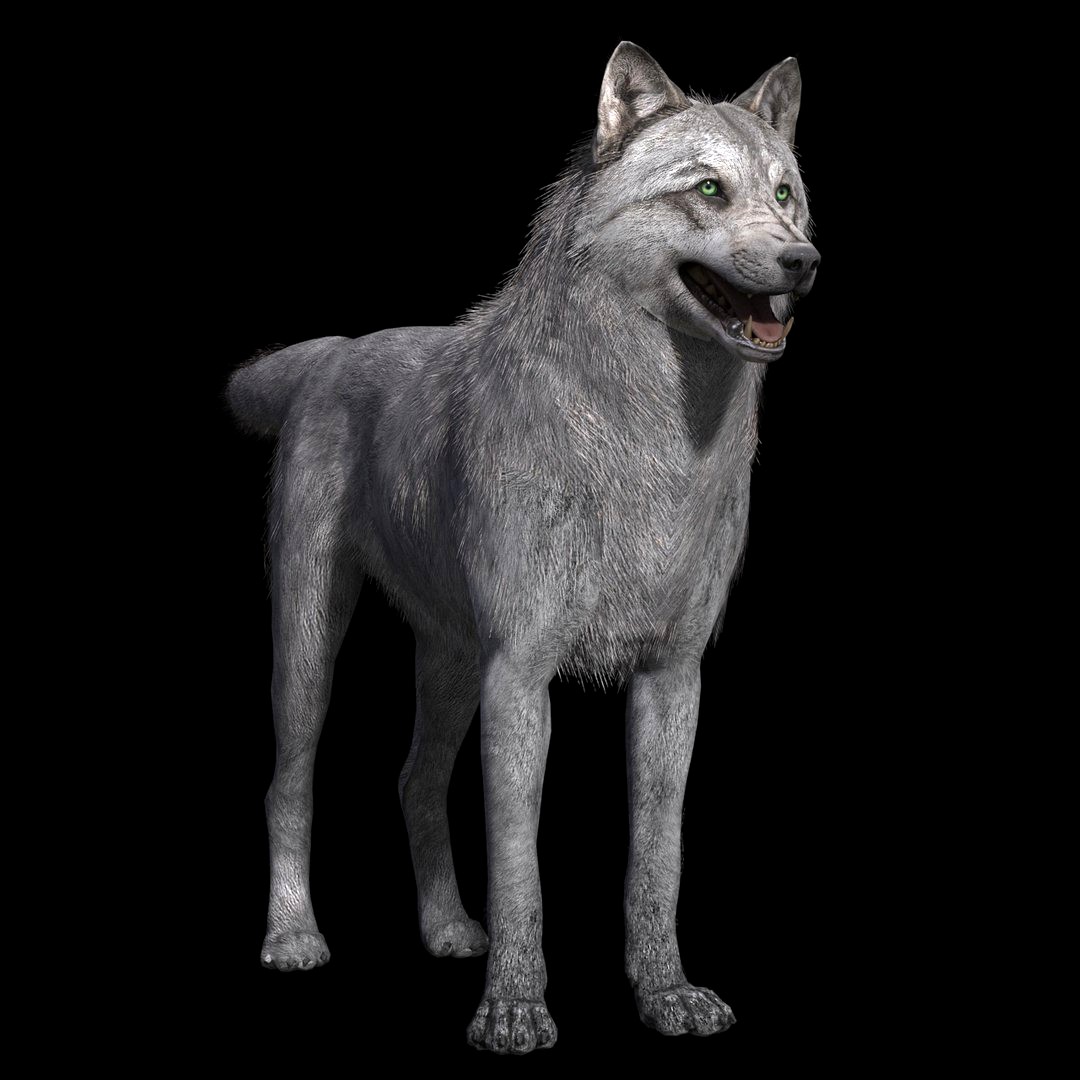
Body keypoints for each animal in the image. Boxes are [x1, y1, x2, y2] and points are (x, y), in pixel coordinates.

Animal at [225, 42, 819, 1054]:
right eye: (707, 188)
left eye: (785, 194)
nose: (804, 260)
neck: (649, 448)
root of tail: (335, 352)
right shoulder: (521, 675)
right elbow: (520, 867)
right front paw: (512, 1011)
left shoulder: (673, 678)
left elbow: (658, 860)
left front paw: (668, 995)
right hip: (310, 649)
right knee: (288, 784)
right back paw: (295, 938)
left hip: (451, 662)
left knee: (413, 780)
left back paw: (446, 931)